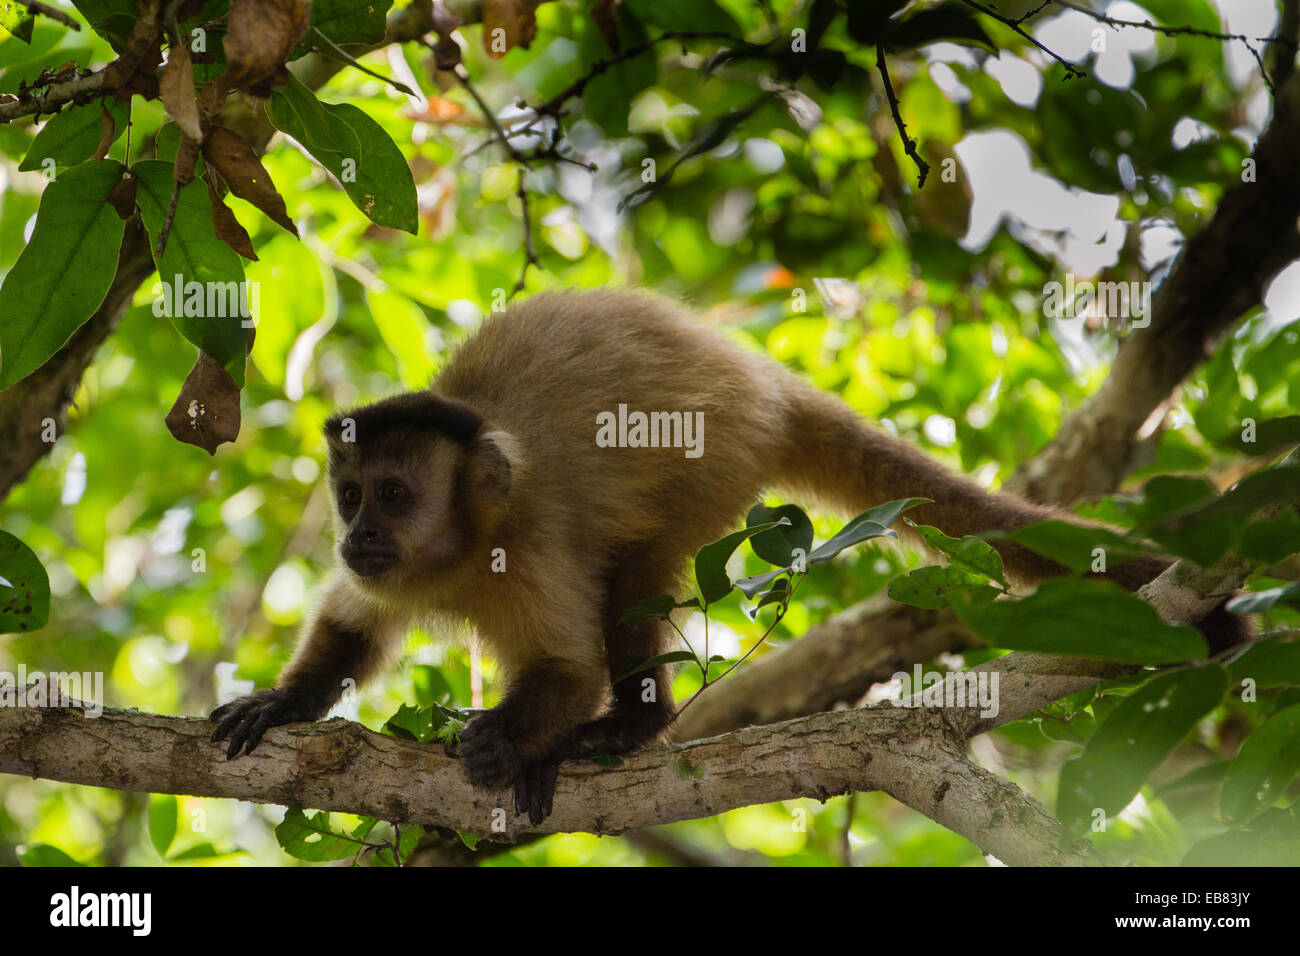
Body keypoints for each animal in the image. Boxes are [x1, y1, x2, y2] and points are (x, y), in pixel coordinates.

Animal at [208, 283, 1232, 822]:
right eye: (349, 495)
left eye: (393, 494)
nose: (354, 533)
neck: (462, 547)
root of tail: (757, 373)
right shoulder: (389, 574)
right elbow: (350, 626)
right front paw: (286, 703)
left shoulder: (529, 542)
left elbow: (568, 669)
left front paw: (512, 738)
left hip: (718, 453)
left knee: (634, 573)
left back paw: (623, 730)